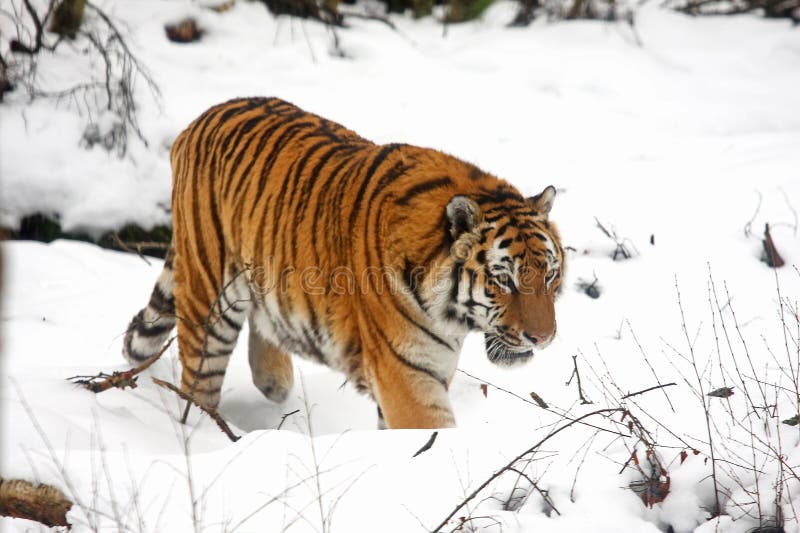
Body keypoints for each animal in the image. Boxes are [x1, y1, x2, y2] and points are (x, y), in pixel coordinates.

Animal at [122, 96, 564, 428]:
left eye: (549, 277)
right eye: (503, 280)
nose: (542, 339)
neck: (451, 316)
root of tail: (199, 119)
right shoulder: (408, 376)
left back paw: (274, 380)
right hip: (208, 300)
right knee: (197, 388)